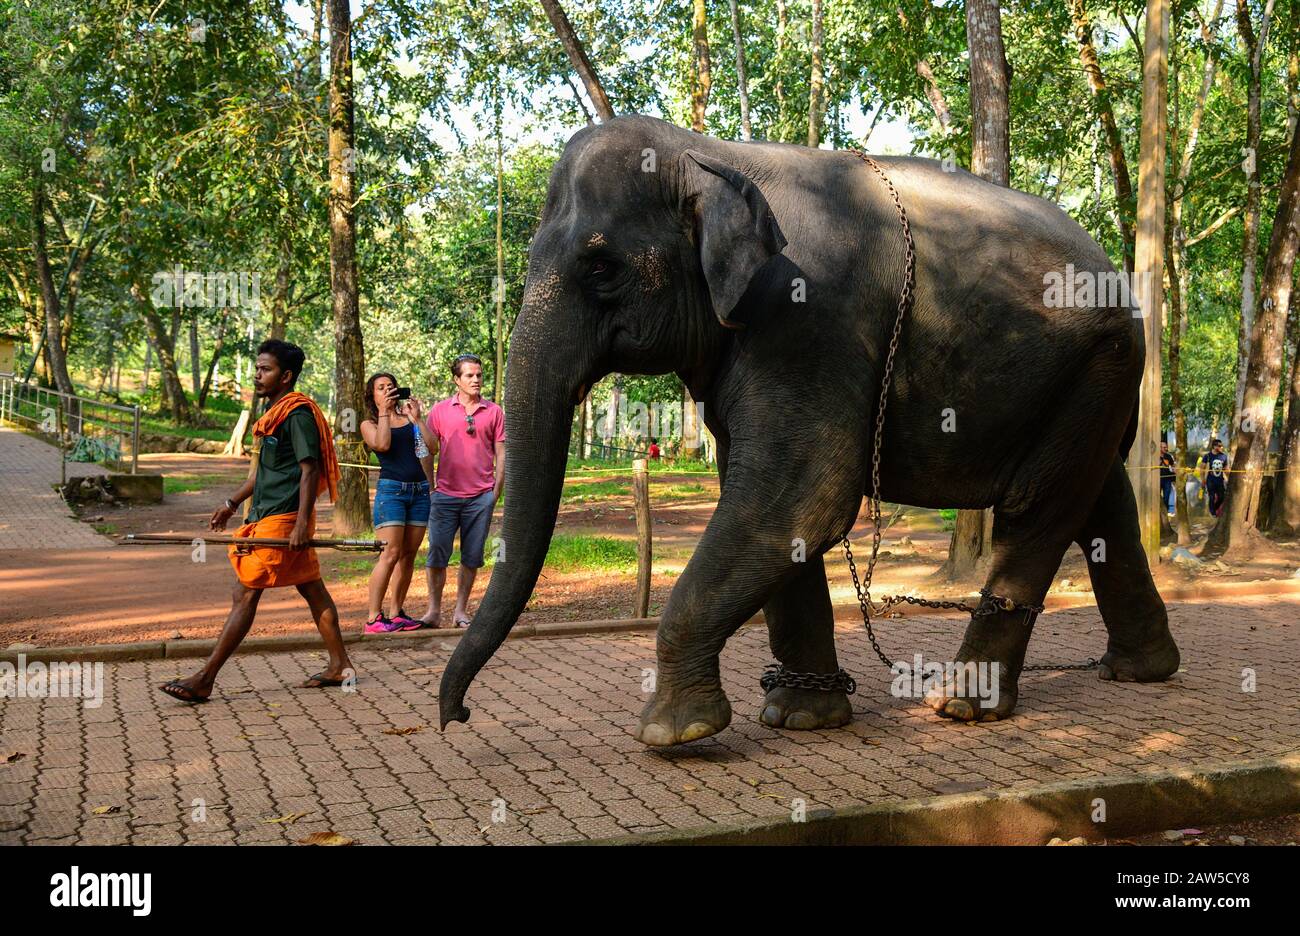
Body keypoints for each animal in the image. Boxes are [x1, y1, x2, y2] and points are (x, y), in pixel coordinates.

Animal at [437, 114, 1181, 746]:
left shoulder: (807, 317)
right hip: (1095, 376)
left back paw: (965, 704)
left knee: (1038, 506)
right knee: (1098, 499)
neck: (709, 152)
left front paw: (673, 734)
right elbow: (773, 508)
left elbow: (800, 497)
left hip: (1103, 360)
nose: (458, 717)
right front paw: (800, 718)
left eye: (600, 267)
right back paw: (1138, 670)